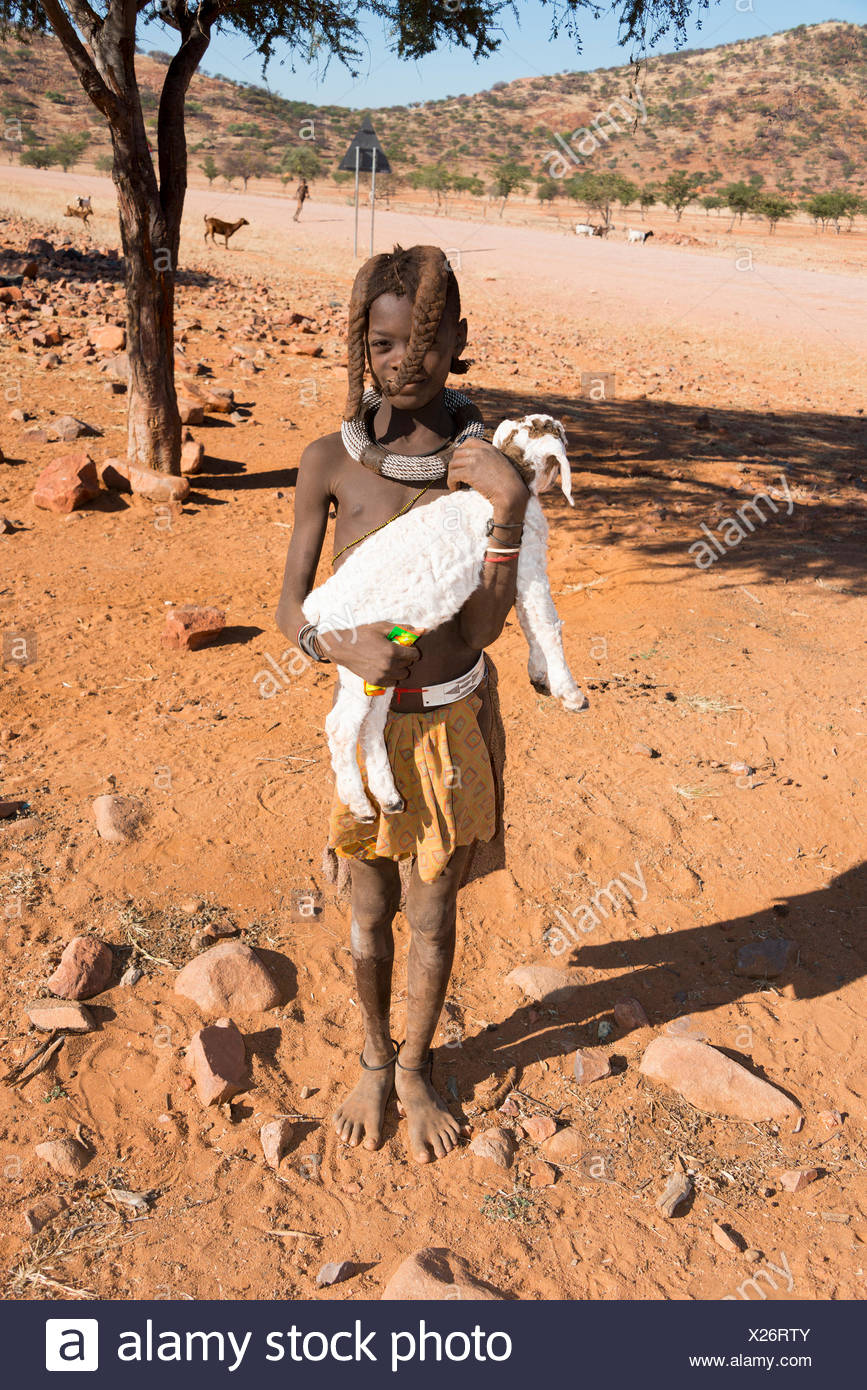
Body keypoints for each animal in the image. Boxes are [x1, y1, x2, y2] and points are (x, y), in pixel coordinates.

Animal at [302, 415, 587, 822]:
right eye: (557, 434)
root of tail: (317, 607)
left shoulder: (520, 566)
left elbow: (529, 620)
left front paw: (540, 674)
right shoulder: (530, 555)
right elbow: (546, 621)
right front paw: (571, 692)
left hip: (383, 661)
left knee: (371, 724)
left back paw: (389, 797)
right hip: (359, 656)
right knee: (341, 726)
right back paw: (360, 804)